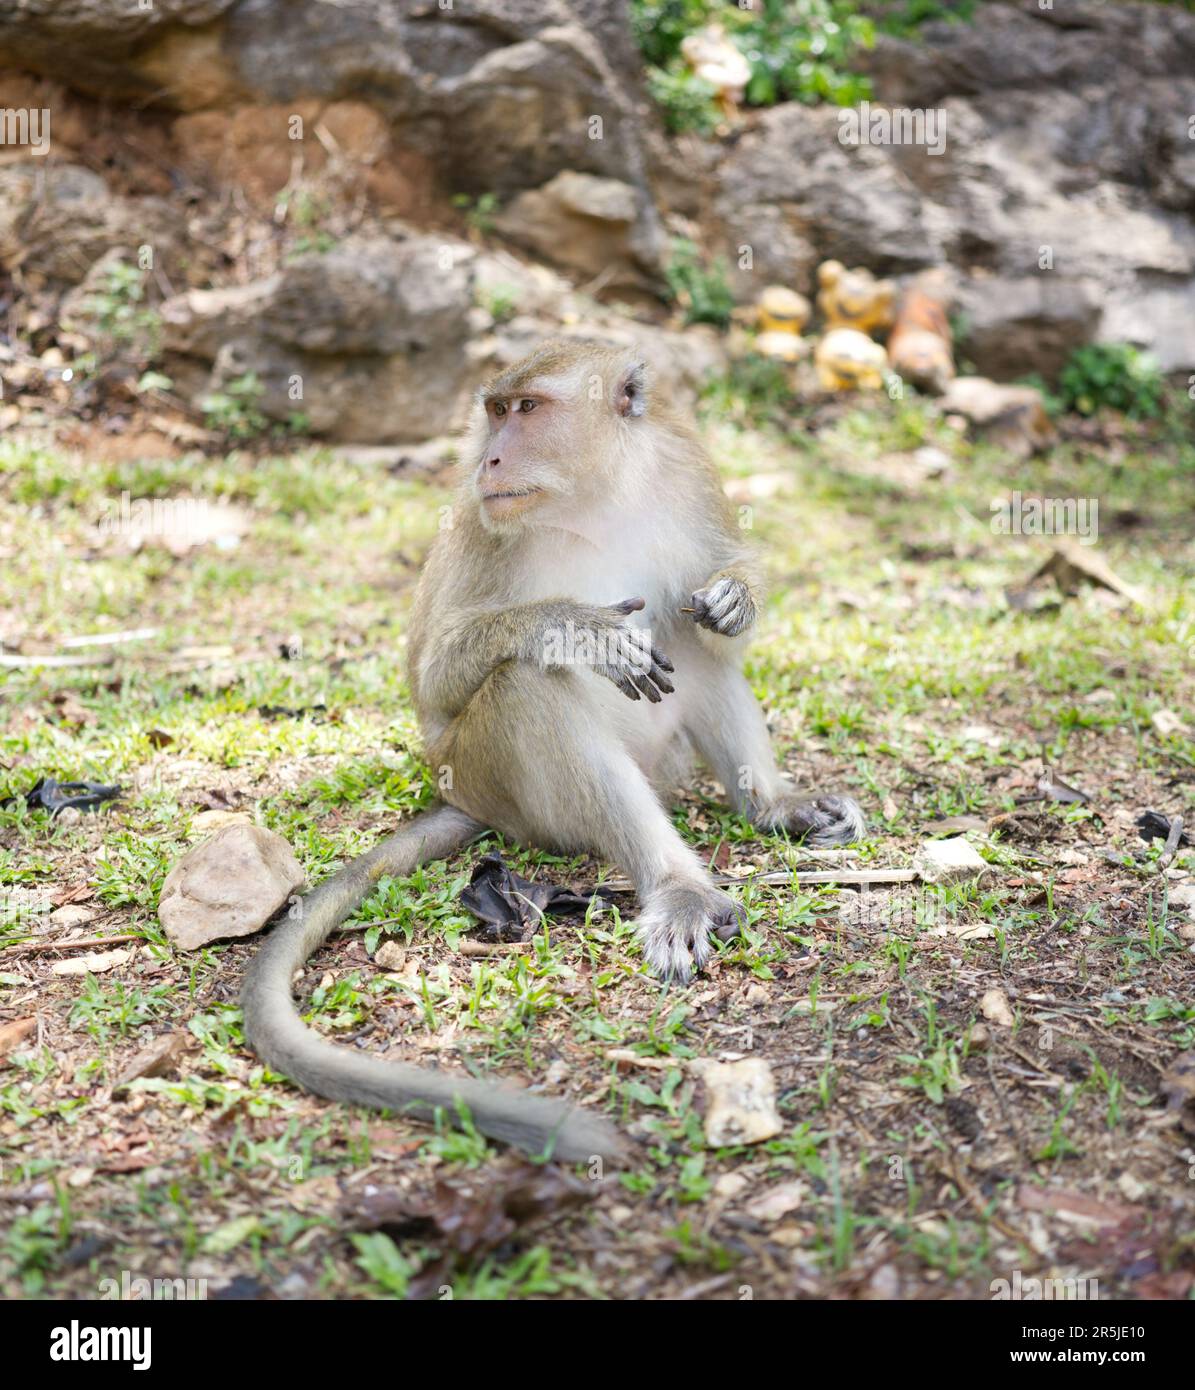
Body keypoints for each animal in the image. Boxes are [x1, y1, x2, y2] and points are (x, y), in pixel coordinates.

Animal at [243, 340, 865, 1165]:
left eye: (527, 409)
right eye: (496, 412)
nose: (492, 457)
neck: (590, 497)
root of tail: (458, 792)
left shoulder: (683, 465)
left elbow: (713, 610)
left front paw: (735, 597)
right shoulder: (476, 517)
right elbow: (436, 674)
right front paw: (573, 627)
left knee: (685, 637)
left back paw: (771, 808)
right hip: (495, 778)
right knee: (526, 685)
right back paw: (677, 887)